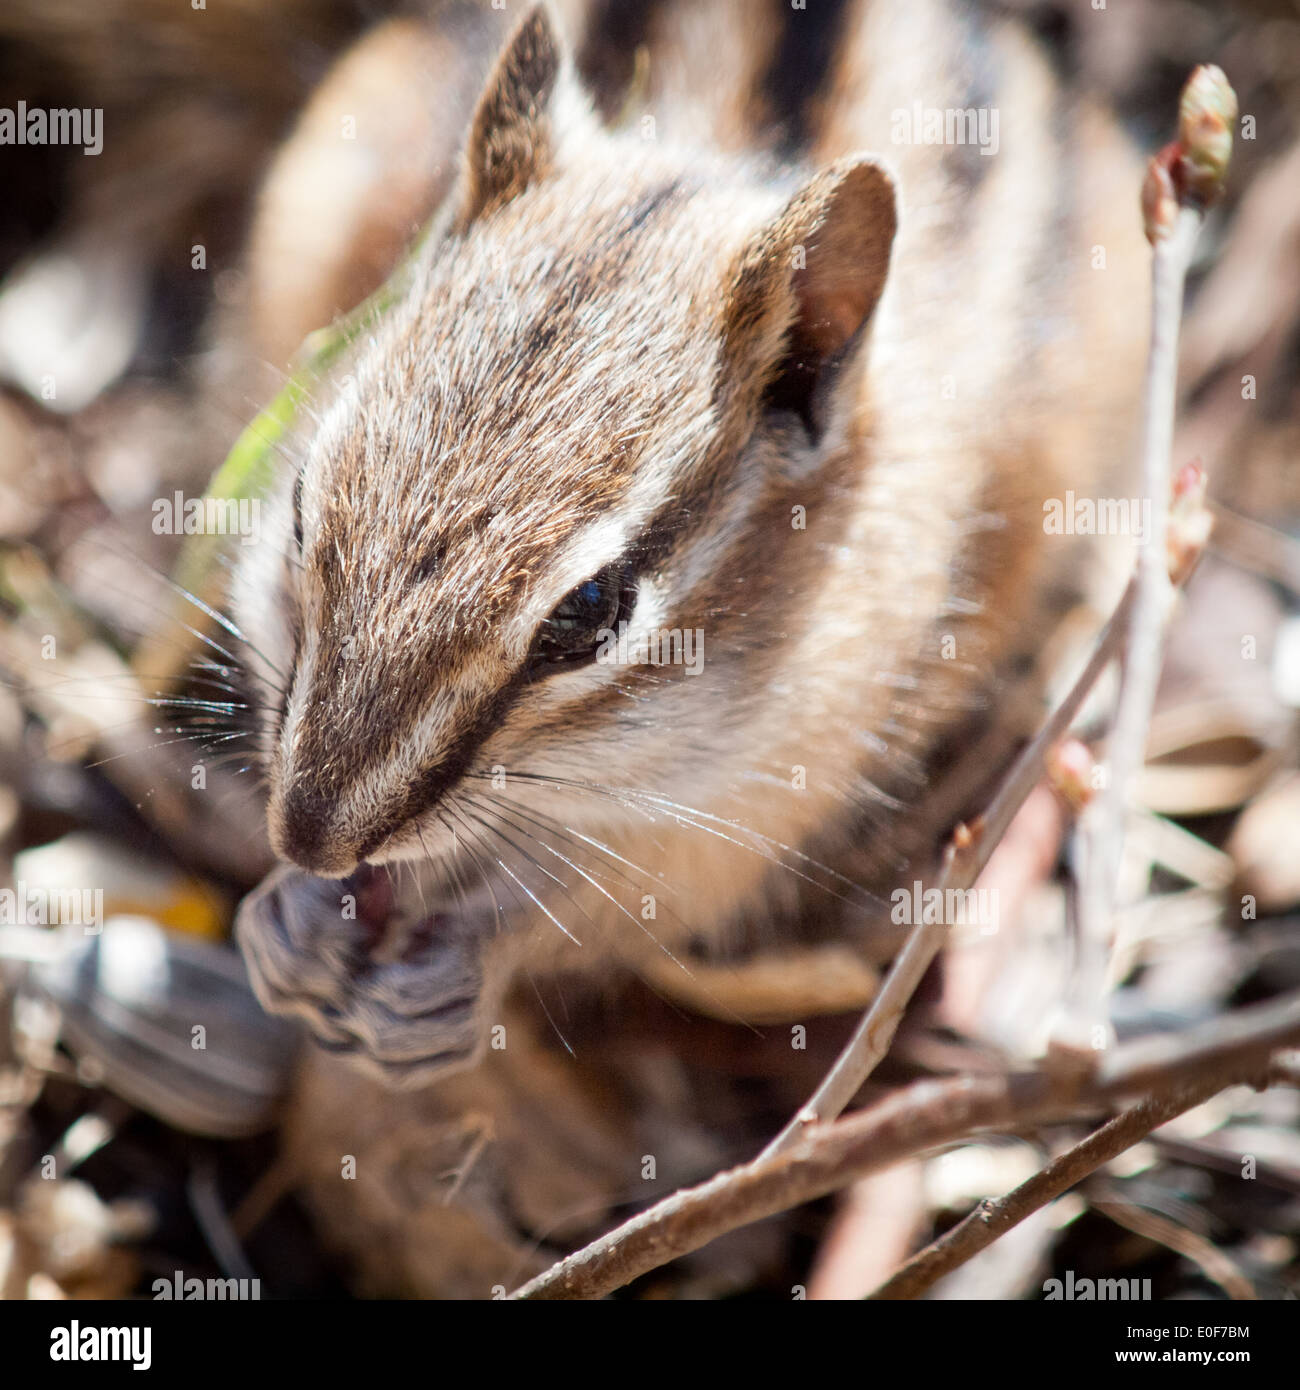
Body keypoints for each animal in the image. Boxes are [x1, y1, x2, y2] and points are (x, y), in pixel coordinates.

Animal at [230, 0, 1149, 1083]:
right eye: (300, 505)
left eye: (590, 616)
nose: (310, 841)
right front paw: (287, 920)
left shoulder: (761, 797)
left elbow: (620, 907)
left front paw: (461, 966)